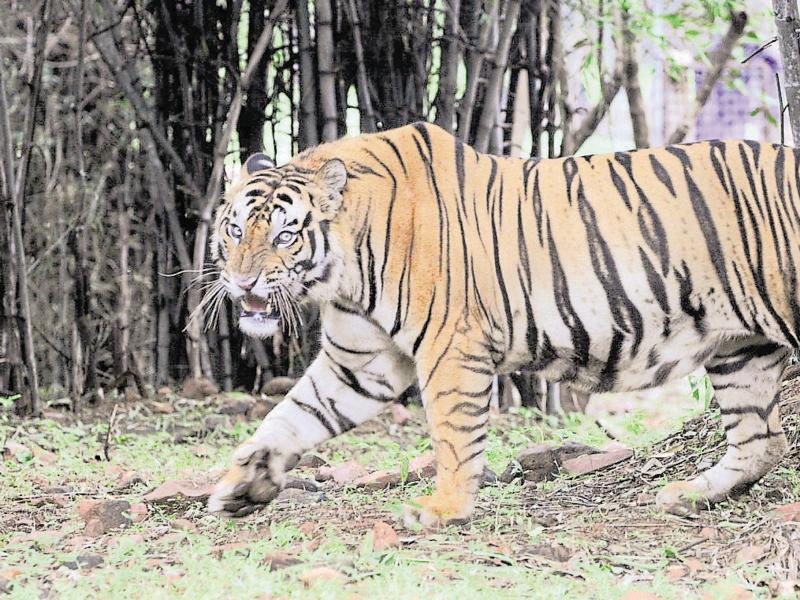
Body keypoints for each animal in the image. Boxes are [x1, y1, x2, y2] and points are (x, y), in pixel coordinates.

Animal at [207, 122, 799, 526]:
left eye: (285, 236)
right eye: (234, 230)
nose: (241, 282)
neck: (345, 271)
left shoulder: (450, 346)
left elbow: (453, 434)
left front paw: (443, 509)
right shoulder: (360, 363)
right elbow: (292, 416)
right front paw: (244, 484)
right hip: (740, 350)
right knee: (762, 439)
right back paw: (690, 494)